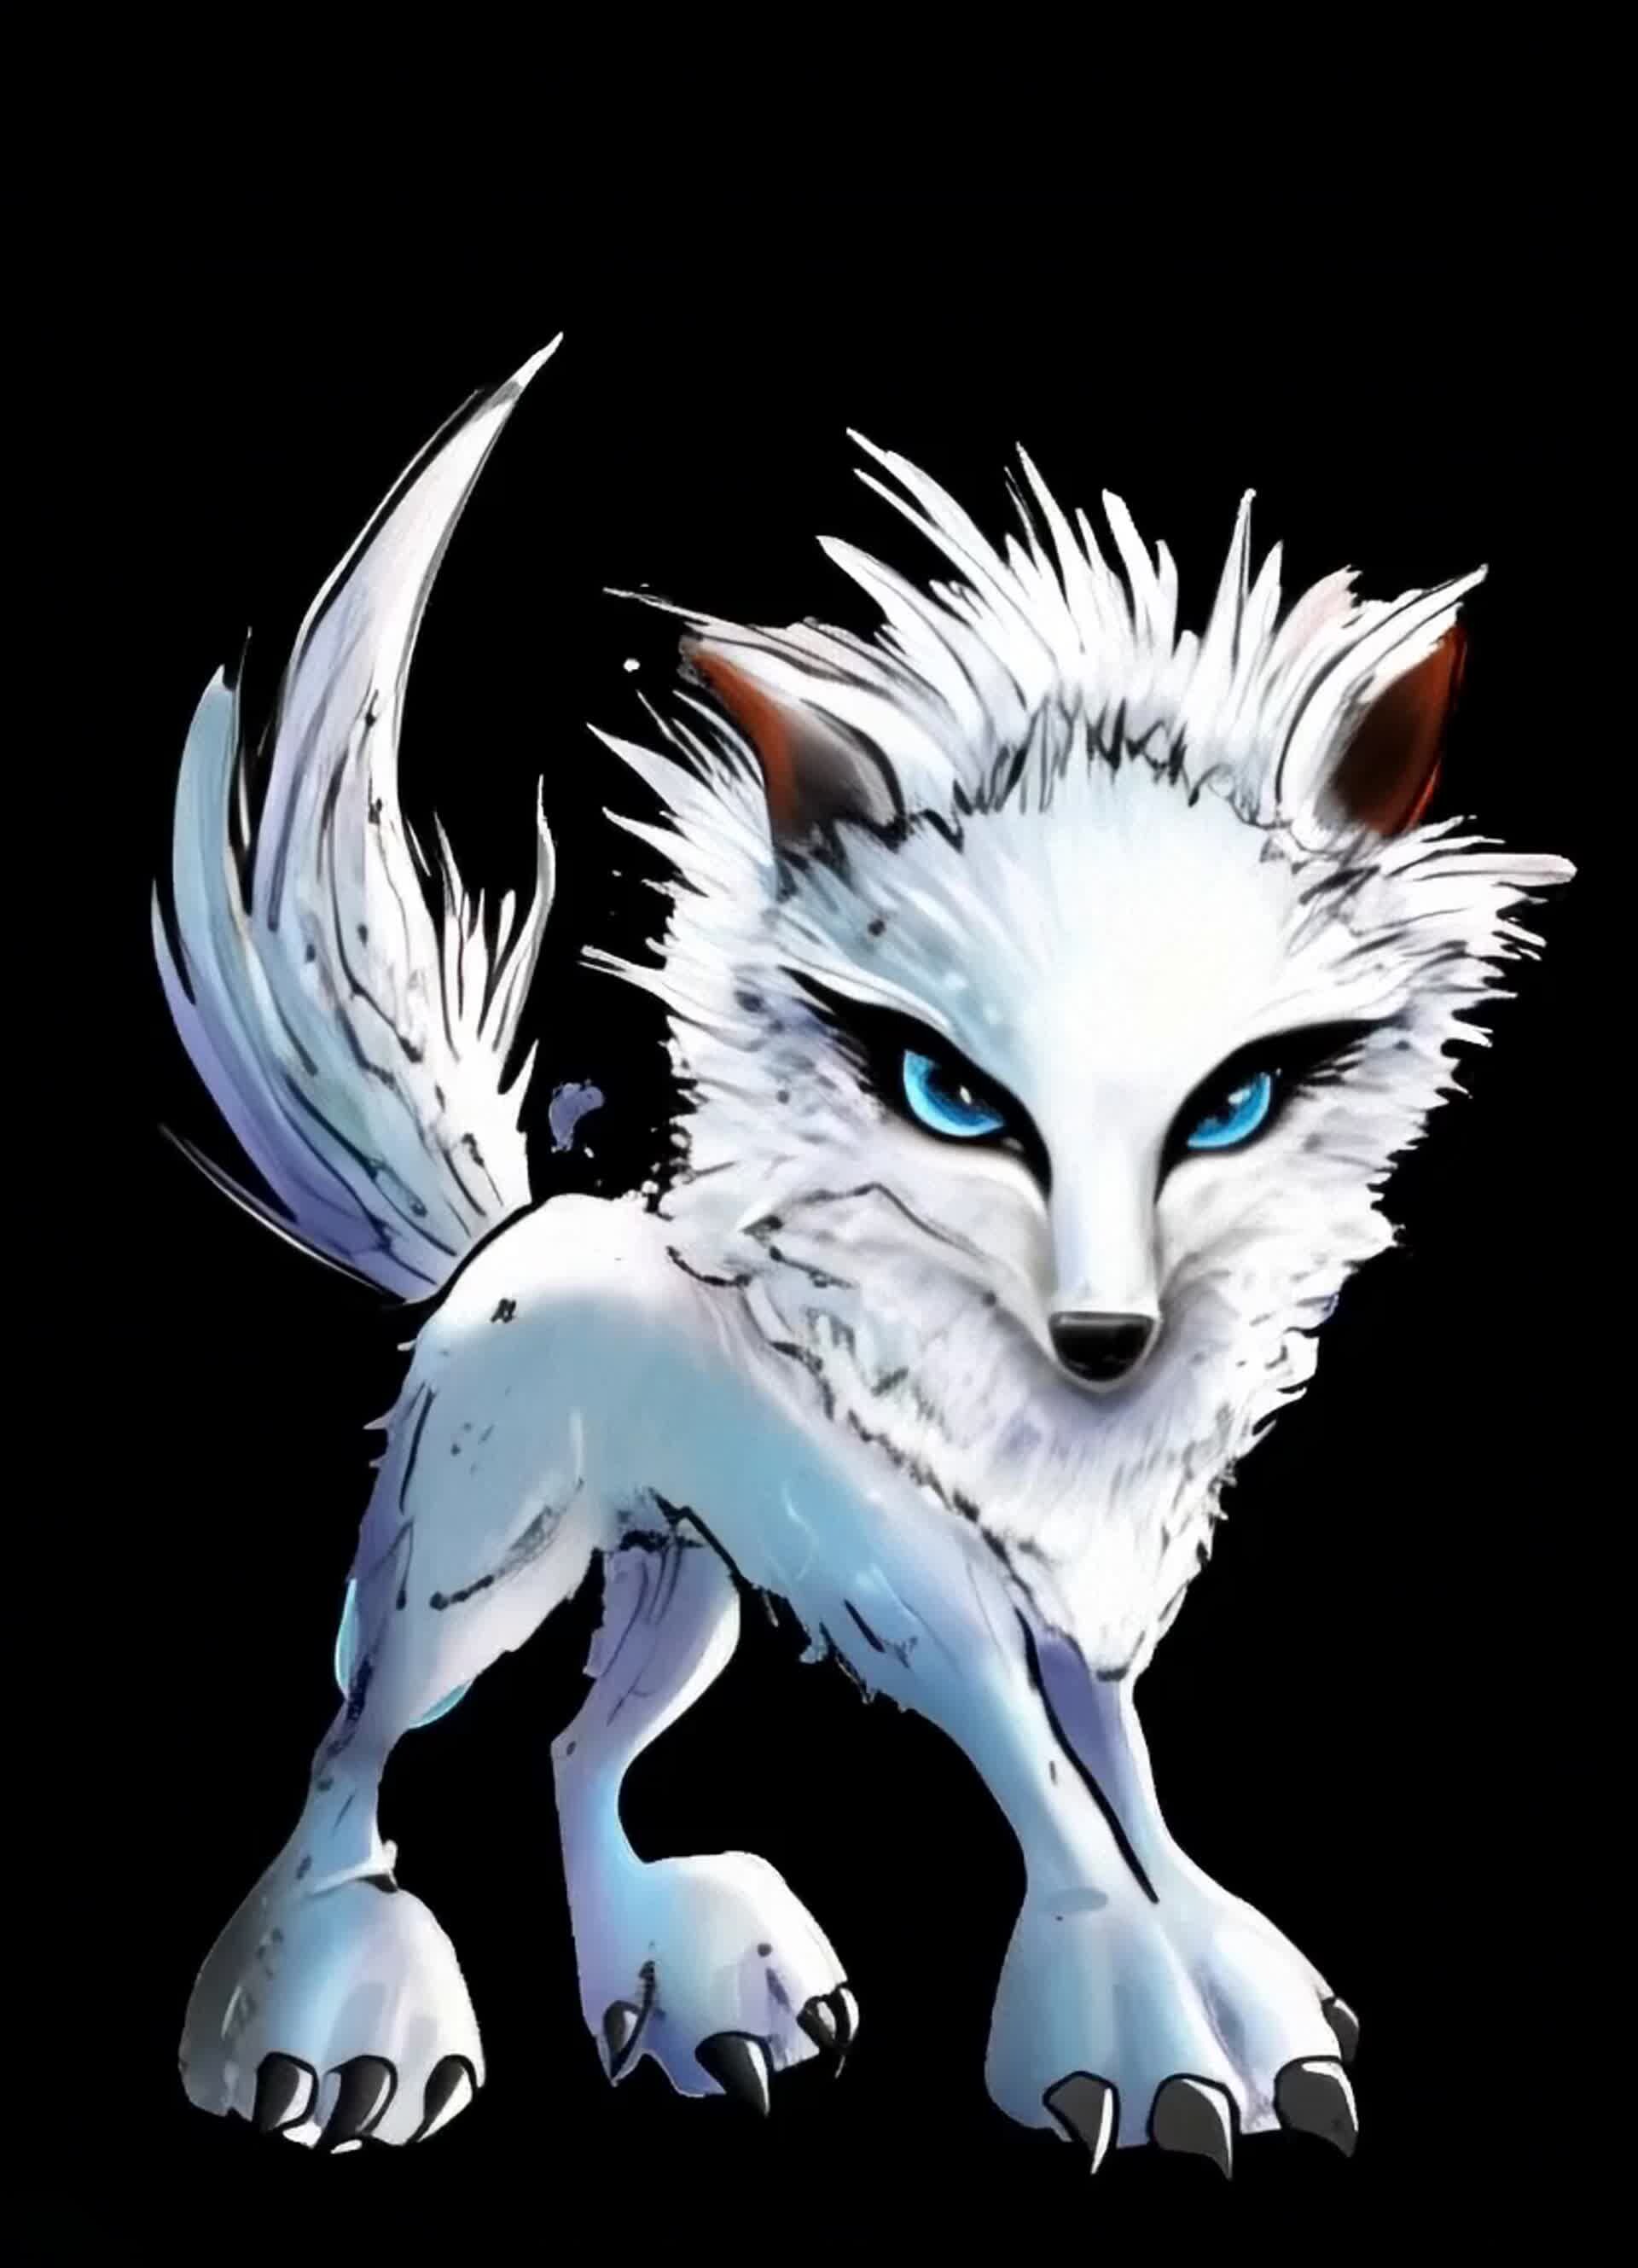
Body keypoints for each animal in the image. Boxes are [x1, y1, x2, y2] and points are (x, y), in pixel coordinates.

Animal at [157, 340, 1570, 2170]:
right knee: (362, 1739)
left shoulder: (1087, 1591)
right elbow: (1054, 1789)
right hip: (472, 1565)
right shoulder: (919, 1589)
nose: (1105, 1338)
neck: (1031, 1429)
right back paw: (325, 2011)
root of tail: (514, 1232)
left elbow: (1127, 1774)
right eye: (952, 1095)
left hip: (685, 1582)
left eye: (1234, 1103)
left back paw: (685, 1998)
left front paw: (1222, 1965)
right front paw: (1133, 2017)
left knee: (575, 1747)